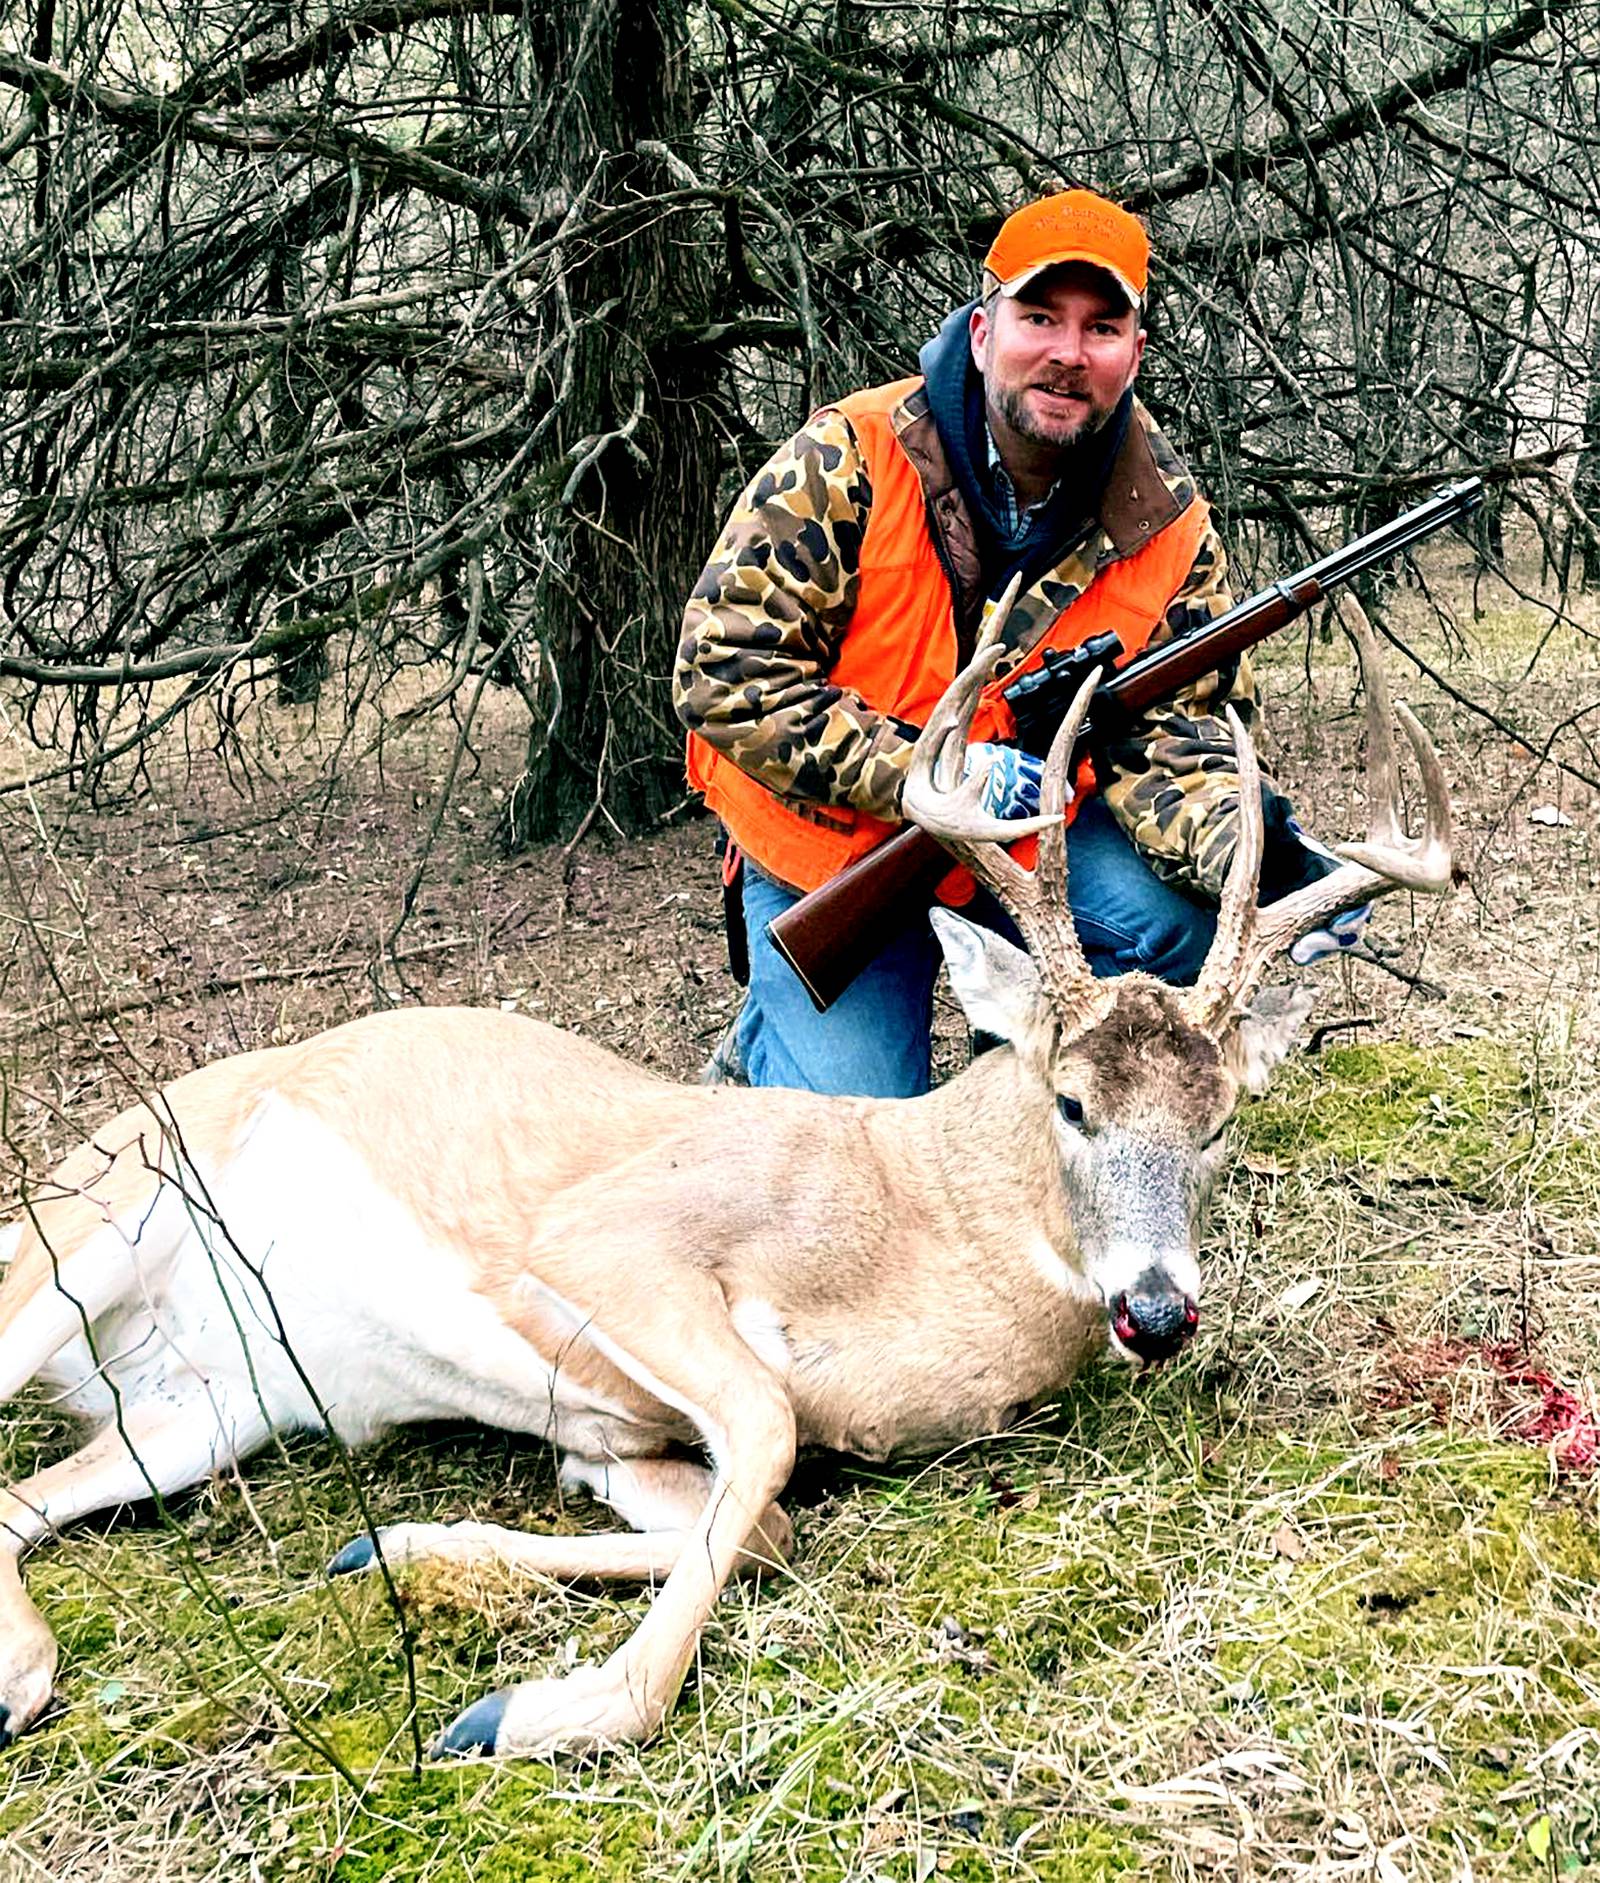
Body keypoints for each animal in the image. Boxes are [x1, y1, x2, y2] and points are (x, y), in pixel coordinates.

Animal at [0, 598, 1451, 1761]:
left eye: (1218, 1120)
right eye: (1070, 1100)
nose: (1156, 1308)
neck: (908, 1222)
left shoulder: (614, 1430)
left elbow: (756, 1529)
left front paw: (398, 1548)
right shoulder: (608, 1241)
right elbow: (765, 1429)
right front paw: (538, 1708)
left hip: (201, 1412)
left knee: (19, 1497)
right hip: (87, 1222)